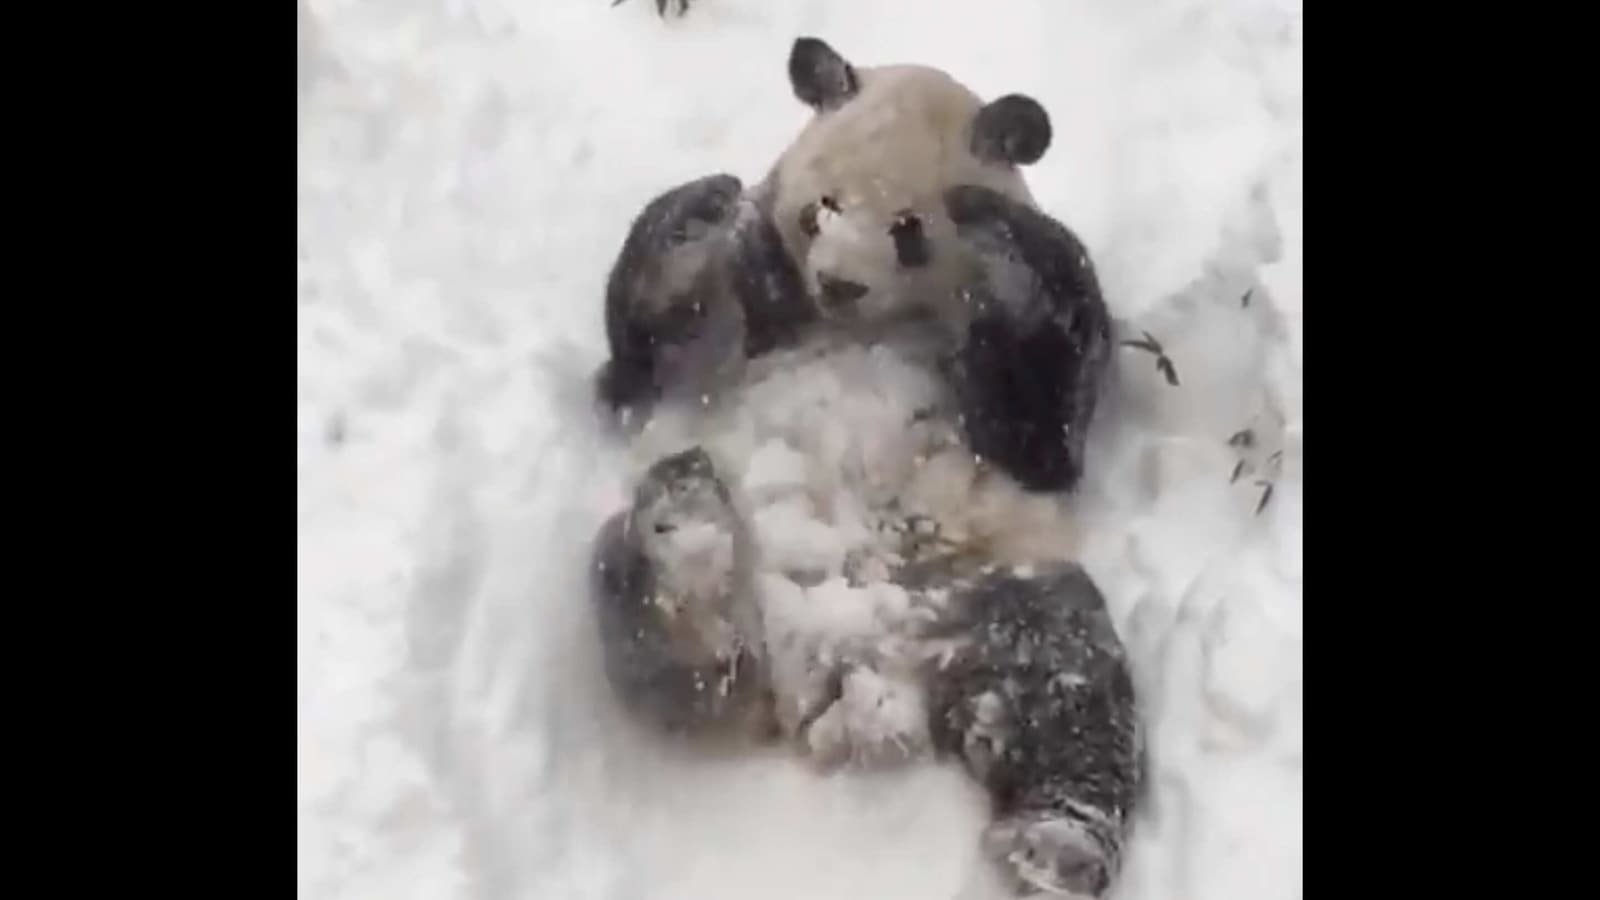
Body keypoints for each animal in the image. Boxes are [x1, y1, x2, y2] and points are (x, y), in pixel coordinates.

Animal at [588, 37, 1142, 899]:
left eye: (908, 230)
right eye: (821, 209)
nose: (838, 282)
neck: (865, 324)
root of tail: (843, 674)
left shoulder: (1020, 411)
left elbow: (1047, 422)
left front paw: (1002, 239)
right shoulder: (747, 318)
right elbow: (643, 358)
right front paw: (704, 209)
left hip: (1001, 592)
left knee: (1072, 697)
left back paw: (1055, 843)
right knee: (660, 643)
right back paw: (684, 537)